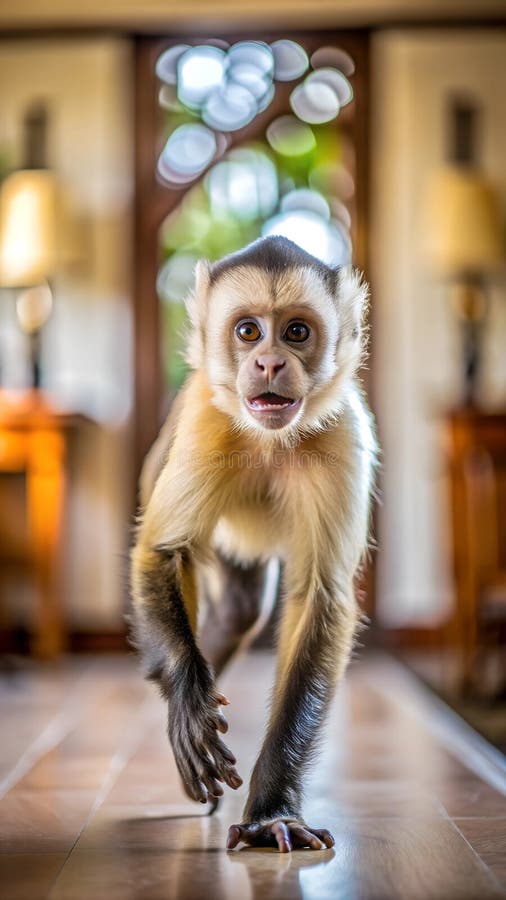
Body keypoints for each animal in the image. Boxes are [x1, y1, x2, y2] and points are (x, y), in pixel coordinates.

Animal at [131, 235, 377, 853]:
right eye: (248, 332)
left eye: (296, 332)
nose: (267, 362)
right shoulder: (205, 419)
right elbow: (162, 552)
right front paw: (187, 701)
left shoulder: (344, 435)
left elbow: (321, 597)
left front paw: (271, 811)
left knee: (242, 609)